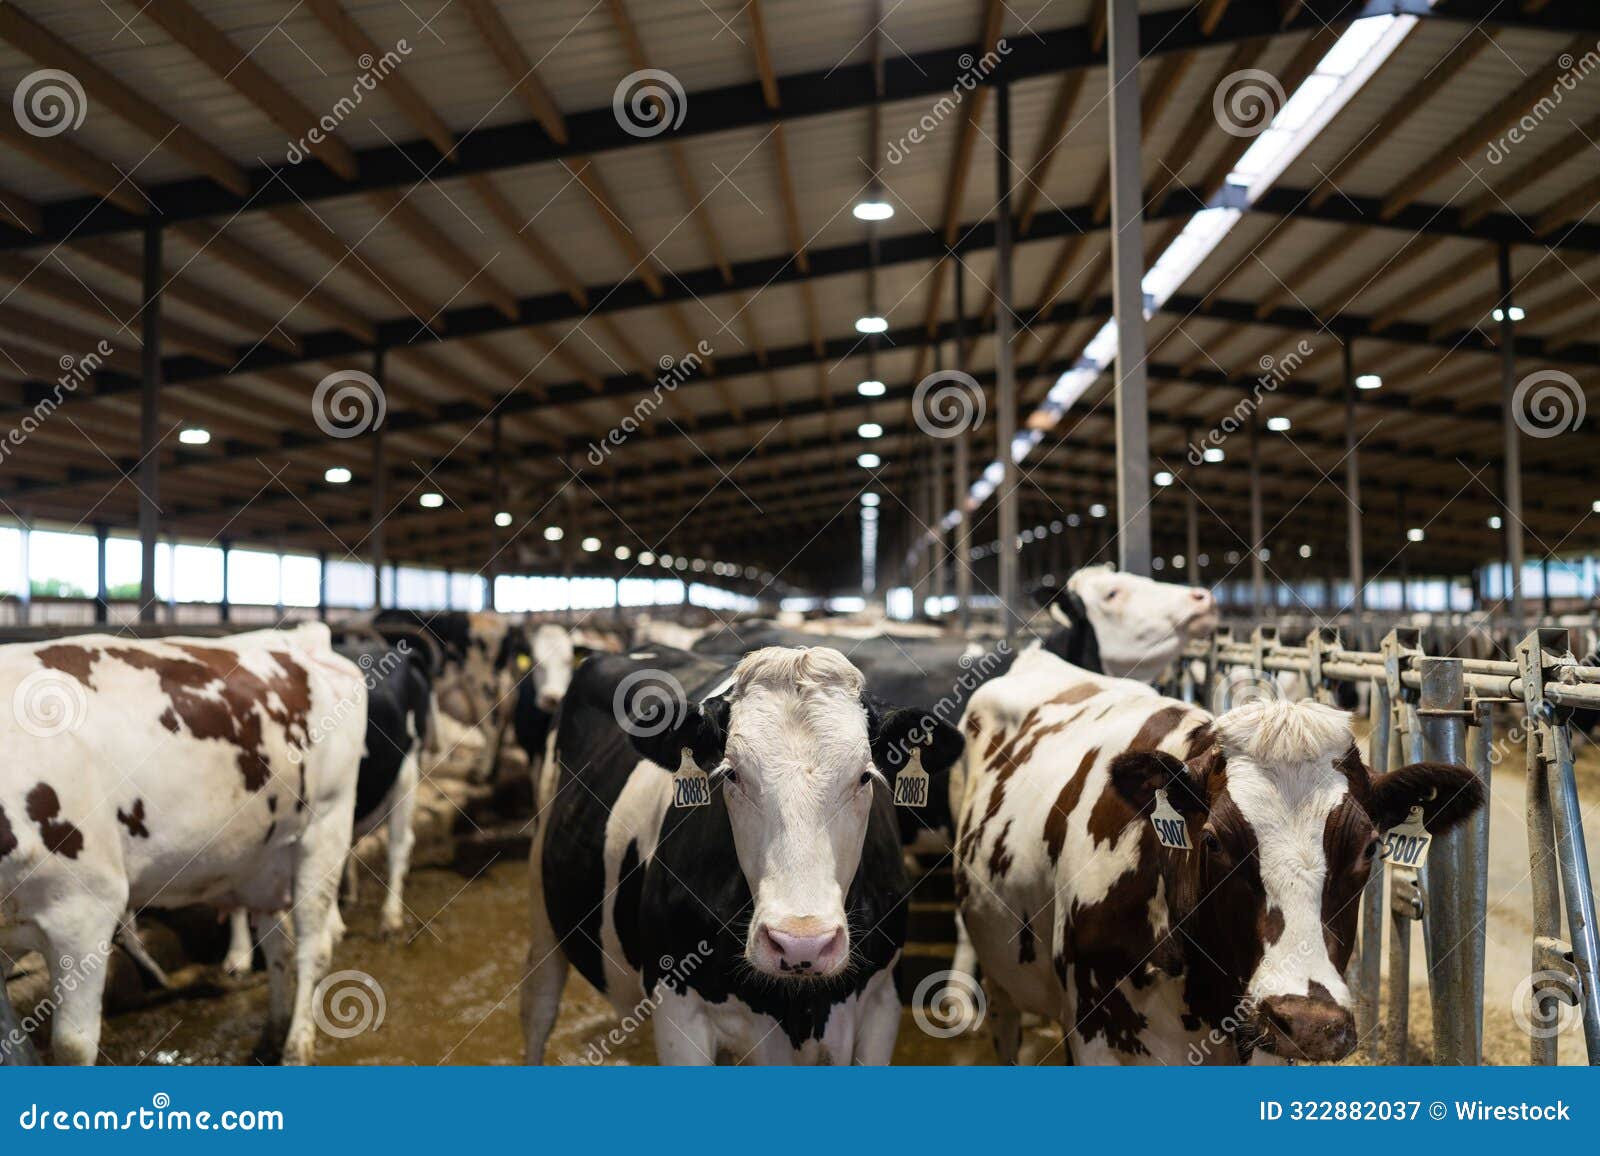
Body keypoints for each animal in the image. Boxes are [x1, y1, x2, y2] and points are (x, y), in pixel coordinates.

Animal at [0, 623, 367, 1065]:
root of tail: (301, 637)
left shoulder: (83, 908)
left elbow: (72, 1045)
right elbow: (13, 1048)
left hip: (326, 824)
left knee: (313, 947)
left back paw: (295, 1048)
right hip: (262, 860)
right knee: (277, 944)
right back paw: (271, 1036)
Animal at [520, 645, 963, 1065]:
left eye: (865, 776)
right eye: (731, 773)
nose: (801, 944)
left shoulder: (880, 1004)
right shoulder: (678, 1011)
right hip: (542, 905)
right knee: (538, 1012)